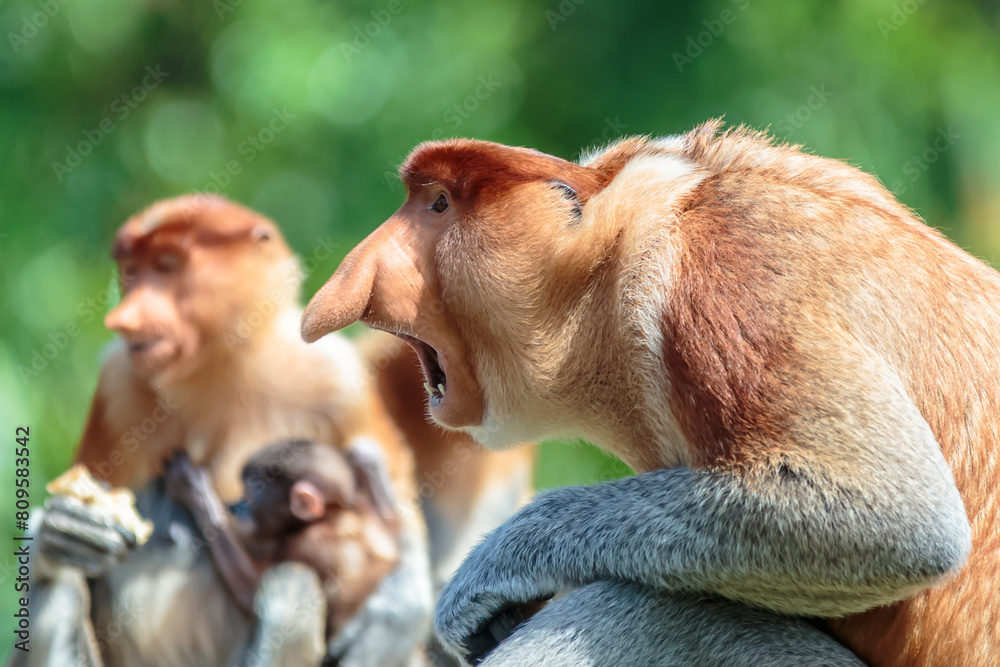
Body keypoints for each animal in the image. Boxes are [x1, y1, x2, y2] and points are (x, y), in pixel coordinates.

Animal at [163, 440, 401, 640]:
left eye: (248, 497)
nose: (236, 505)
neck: (329, 516)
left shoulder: (308, 546)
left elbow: (252, 594)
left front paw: (191, 487)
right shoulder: (362, 508)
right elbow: (394, 527)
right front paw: (362, 463)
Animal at [300, 120, 997, 666]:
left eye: (439, 205)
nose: (351, 286)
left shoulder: (724, 278)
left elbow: (902, 522)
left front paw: (488, 575)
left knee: (633, 606)